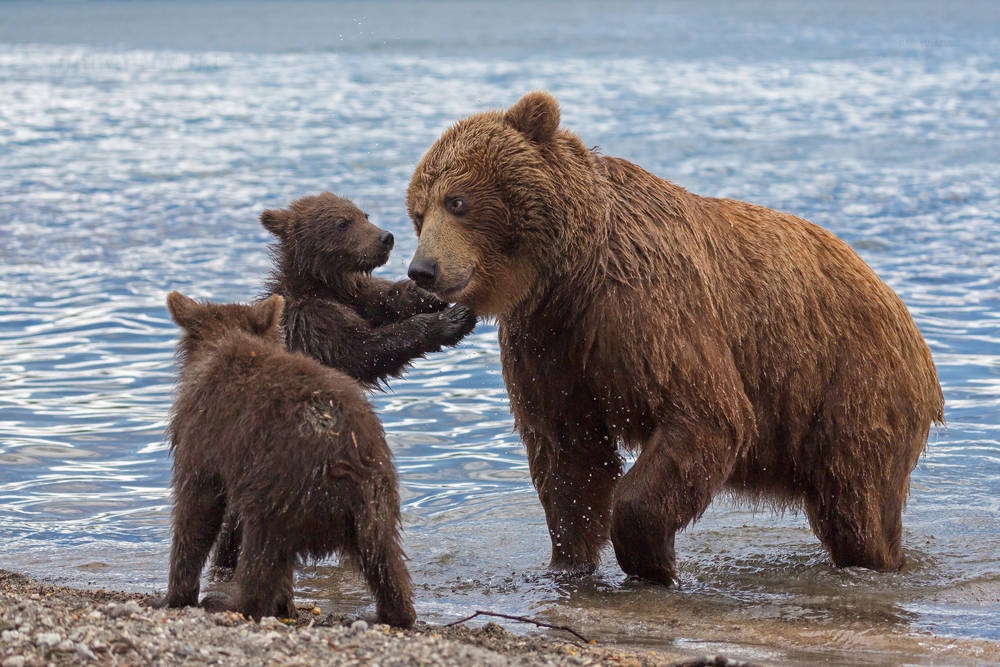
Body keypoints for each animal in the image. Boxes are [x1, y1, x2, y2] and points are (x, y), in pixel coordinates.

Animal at [157, 291, 415, 627]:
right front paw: (284, 603)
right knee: (386, 560)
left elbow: (197, 507)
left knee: (260, 550)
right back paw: (392, 612)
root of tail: (345, 465)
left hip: (281, 485)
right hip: (376, 498)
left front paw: (176, 594)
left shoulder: (203, 434)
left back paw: (229, 601)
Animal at [404, 91, 944, 584]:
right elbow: (569, 451)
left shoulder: (646, 307)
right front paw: (569, 561)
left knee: (857, 502)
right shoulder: (548, 338)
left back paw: (878, 561)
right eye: (417, 212)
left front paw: (651, 559)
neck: (571, 271)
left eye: (456, 201)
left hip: (850, 382)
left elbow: (705, 414)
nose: (422, 270)